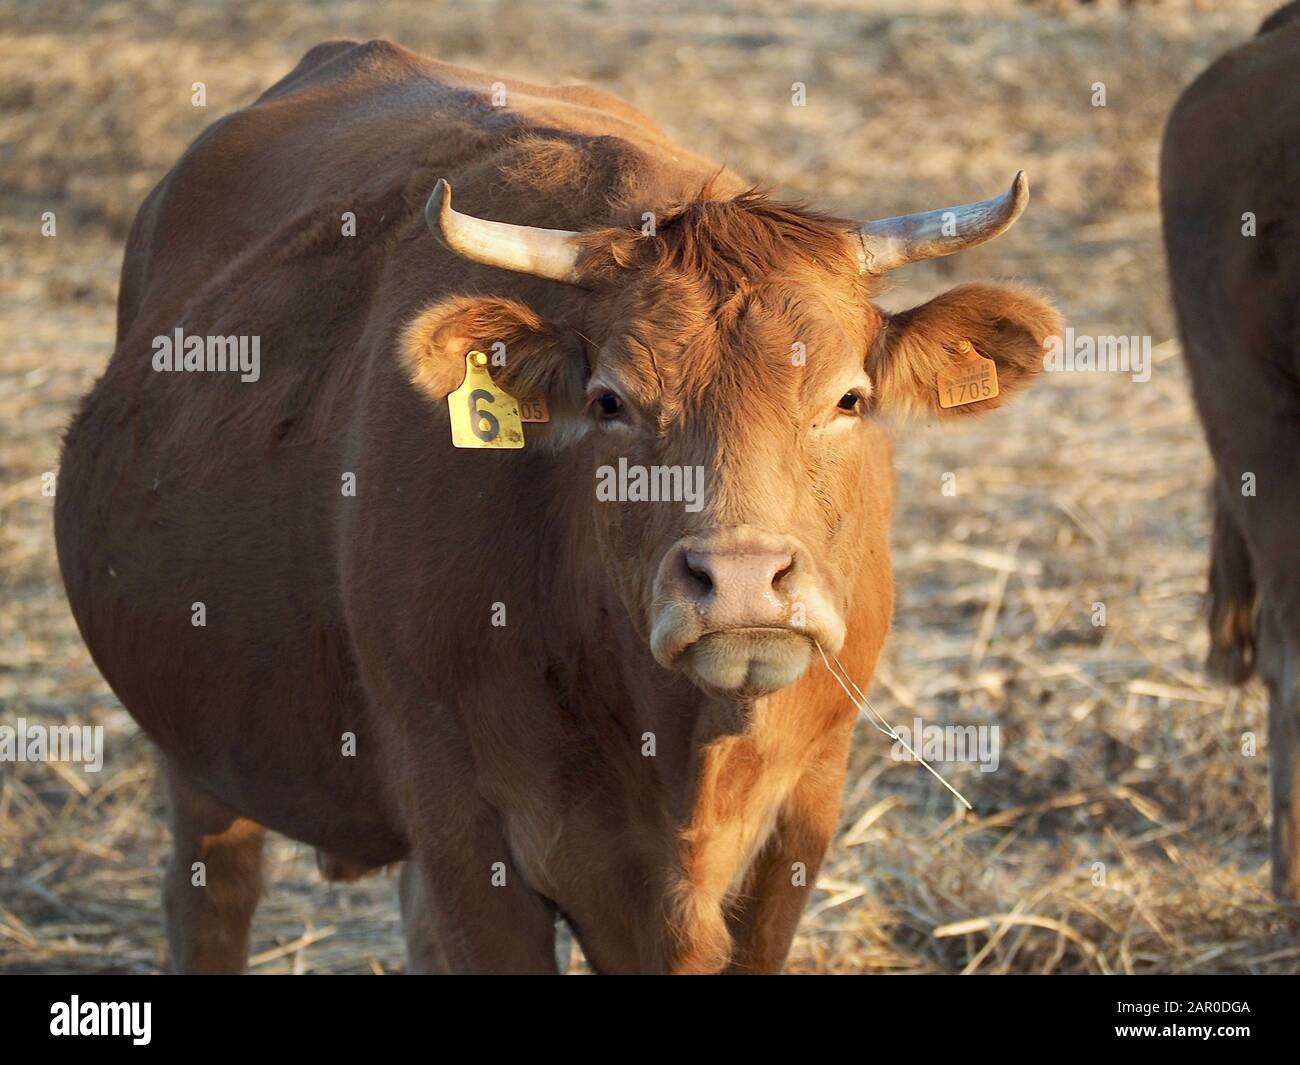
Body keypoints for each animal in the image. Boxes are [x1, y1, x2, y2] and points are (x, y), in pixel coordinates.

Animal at [54, 39, 1060, 973]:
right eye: (612, 401)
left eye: (849, 398)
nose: (741, 582)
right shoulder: (465, 832)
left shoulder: (799, 820)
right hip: (197, 744)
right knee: (213, 893)